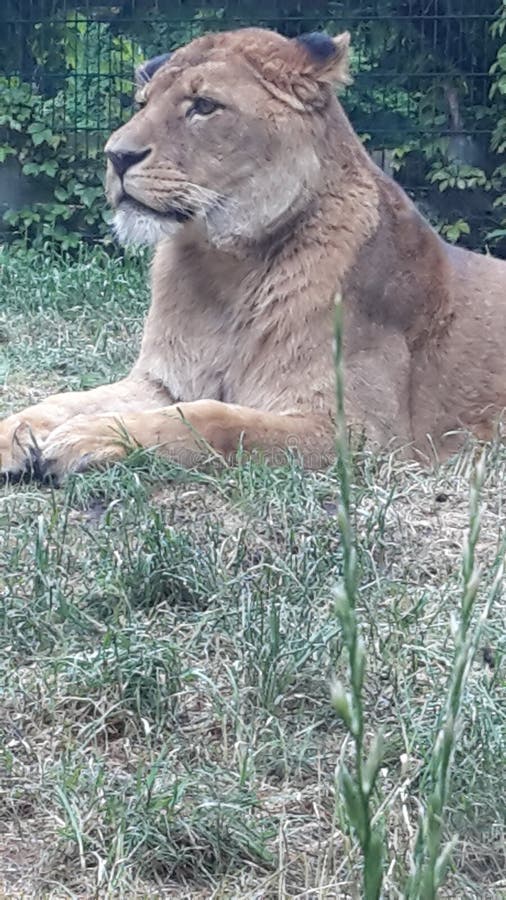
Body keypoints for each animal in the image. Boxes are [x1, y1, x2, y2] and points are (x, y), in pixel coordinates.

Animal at [1, 26, 506, 483]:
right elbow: (69, 399)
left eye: (204, 106)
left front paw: (95, 436)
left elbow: (215, 420)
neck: (225, 268)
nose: (115, 156)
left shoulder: (361, 435)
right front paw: (15, 433)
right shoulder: (162, 381)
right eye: (142, 105)